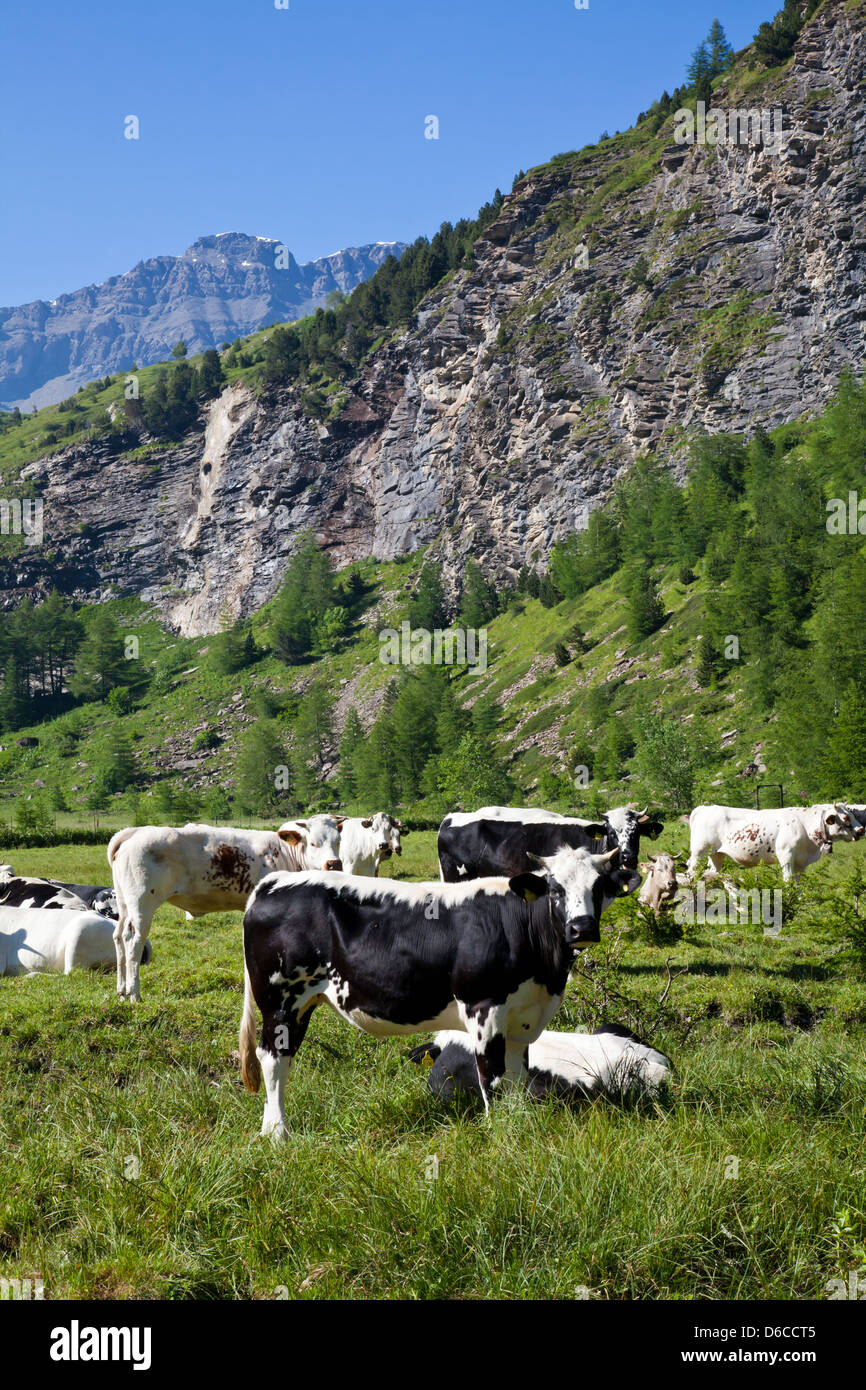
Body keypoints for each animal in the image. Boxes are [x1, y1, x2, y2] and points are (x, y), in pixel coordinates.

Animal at [108, 816, 343, 1002]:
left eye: (338, 841)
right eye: (313, 843)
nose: (333, 864)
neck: (283, 853)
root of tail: (136, 832)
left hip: (124, 904)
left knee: (119, 937)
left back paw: (121, 990)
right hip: (142, 905)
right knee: (134, 944)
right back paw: (134, 993)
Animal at [238, 845, 642, 1138]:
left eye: (599, 888)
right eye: (555, 889)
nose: (582, 927)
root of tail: (274, 883)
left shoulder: (522, 1019)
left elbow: (517, 1078)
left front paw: (518, 1125)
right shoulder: (484, 1009)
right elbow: (492, 1078)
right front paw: (500, 1135)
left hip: (301, 1003)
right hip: (280, 1000)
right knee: (273, 1060)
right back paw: (278, 1133)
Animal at [686, 803, 861, 882]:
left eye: (853, 815)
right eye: (845, 818)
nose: (861, 830)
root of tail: (705, 807)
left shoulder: (800, 862)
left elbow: (798, 884)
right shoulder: (786, 855)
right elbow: (788, 880)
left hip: (716, 854)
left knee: (711, 872)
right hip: (699, 851)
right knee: (691, 871)